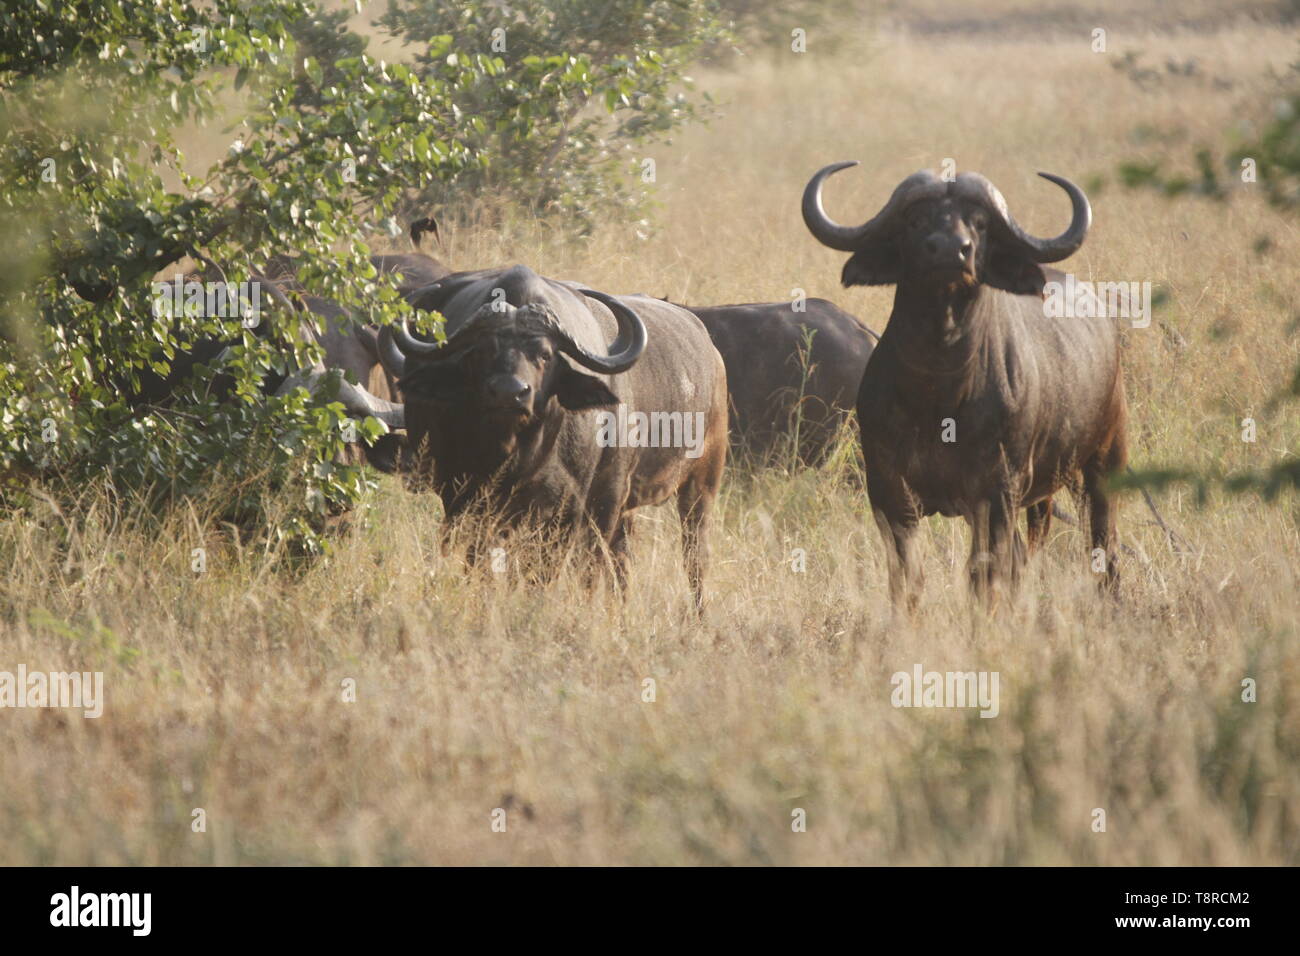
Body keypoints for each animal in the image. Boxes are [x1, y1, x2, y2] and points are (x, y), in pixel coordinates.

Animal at [378, 266, 729, 608]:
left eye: (545, 355)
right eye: (481, 351)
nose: (510, 392)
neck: (518, 454)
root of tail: (712, 353)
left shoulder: (572, 509)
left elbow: (549, 571)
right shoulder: (463, 500)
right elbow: (483, 566)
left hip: (698, 484)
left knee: (691, 555)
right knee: (621, 560)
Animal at [803, 162, 1127, 605]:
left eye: (980, 223)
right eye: (915, 220)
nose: (950, 251)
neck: (939, 394)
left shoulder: (996, 493)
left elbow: (983, 575)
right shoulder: (888, 490)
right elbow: (907, 575)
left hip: (1105, 460)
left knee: (1102, 542)